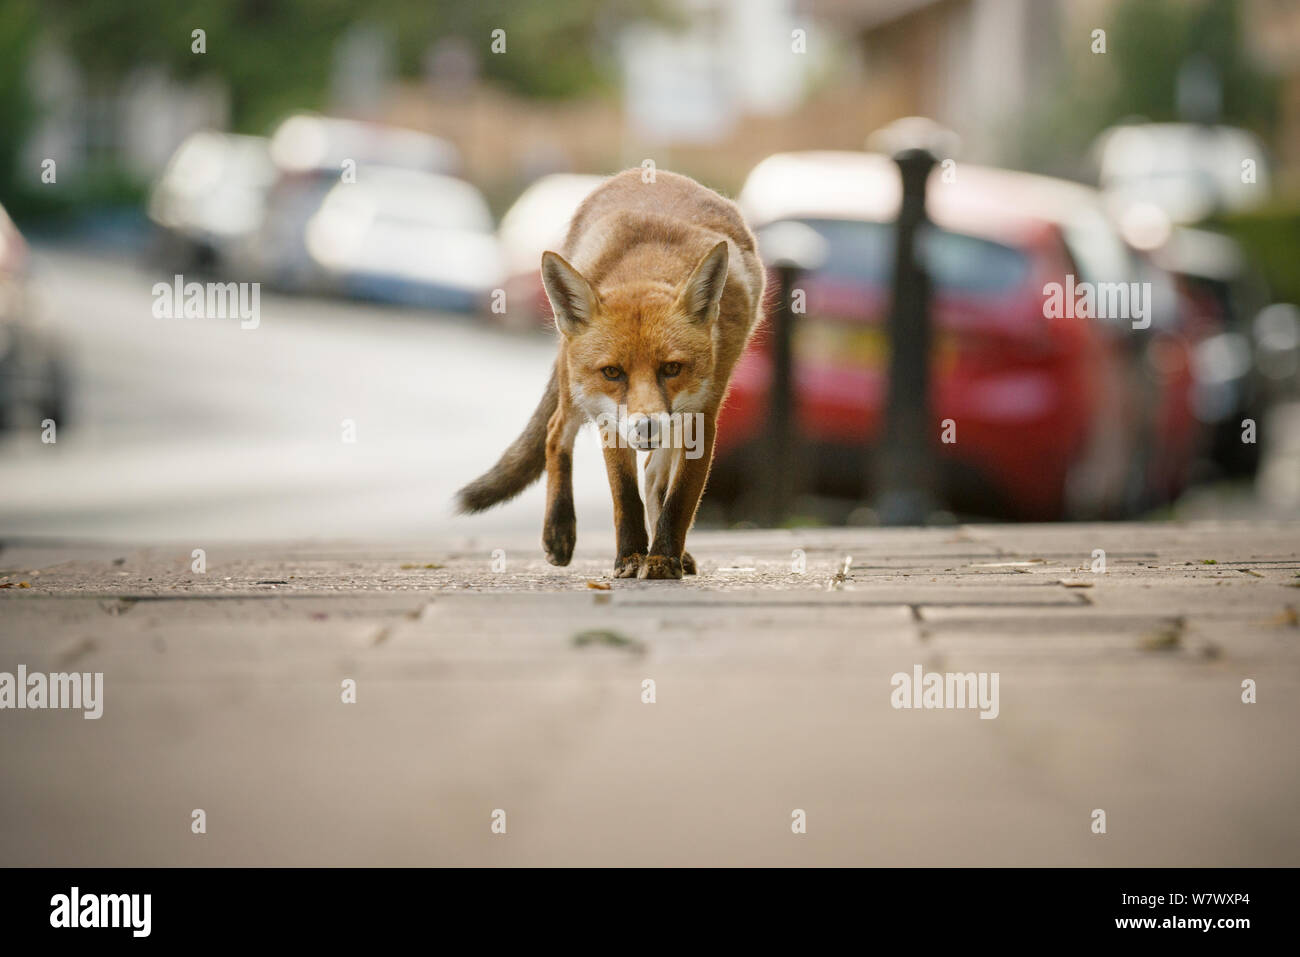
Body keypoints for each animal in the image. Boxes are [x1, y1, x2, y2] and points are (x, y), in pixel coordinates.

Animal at [455, 168, 765, 579]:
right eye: (613, 372)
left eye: (672, 368)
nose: (646, 426)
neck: (649, 266)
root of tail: (648, 172)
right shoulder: (608, 415)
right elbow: (625, 496)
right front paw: (631, 556)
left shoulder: (704, 417)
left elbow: (679, 500)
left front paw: (663, 558)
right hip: (574, 385)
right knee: (555, 432)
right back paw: (559, 529)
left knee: (652, 473)